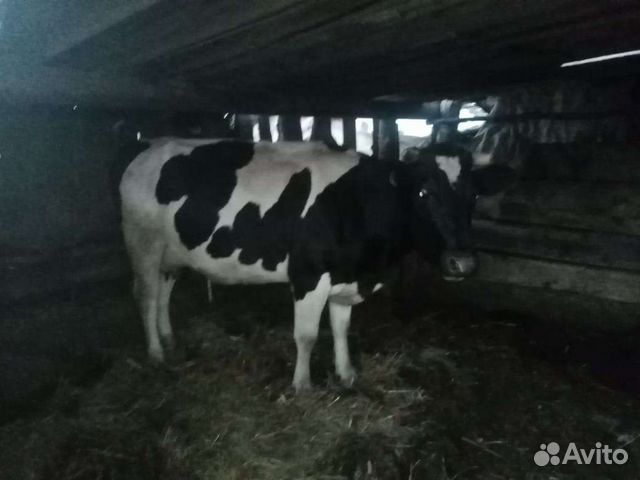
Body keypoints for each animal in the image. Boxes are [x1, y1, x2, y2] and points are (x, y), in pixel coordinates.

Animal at [119, 138, 513, 391]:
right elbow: (307, 335)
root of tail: (146, 151)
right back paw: (156, 353)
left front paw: (346, 373)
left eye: (473, 195)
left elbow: (340, 329)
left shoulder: (344, 278)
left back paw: (169, 339)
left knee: (164, 291)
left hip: (173, 251)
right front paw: (302, 385)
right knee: (145, 295)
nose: (462, 262)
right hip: (143, 243)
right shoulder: (308, 276)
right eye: (423, 192)